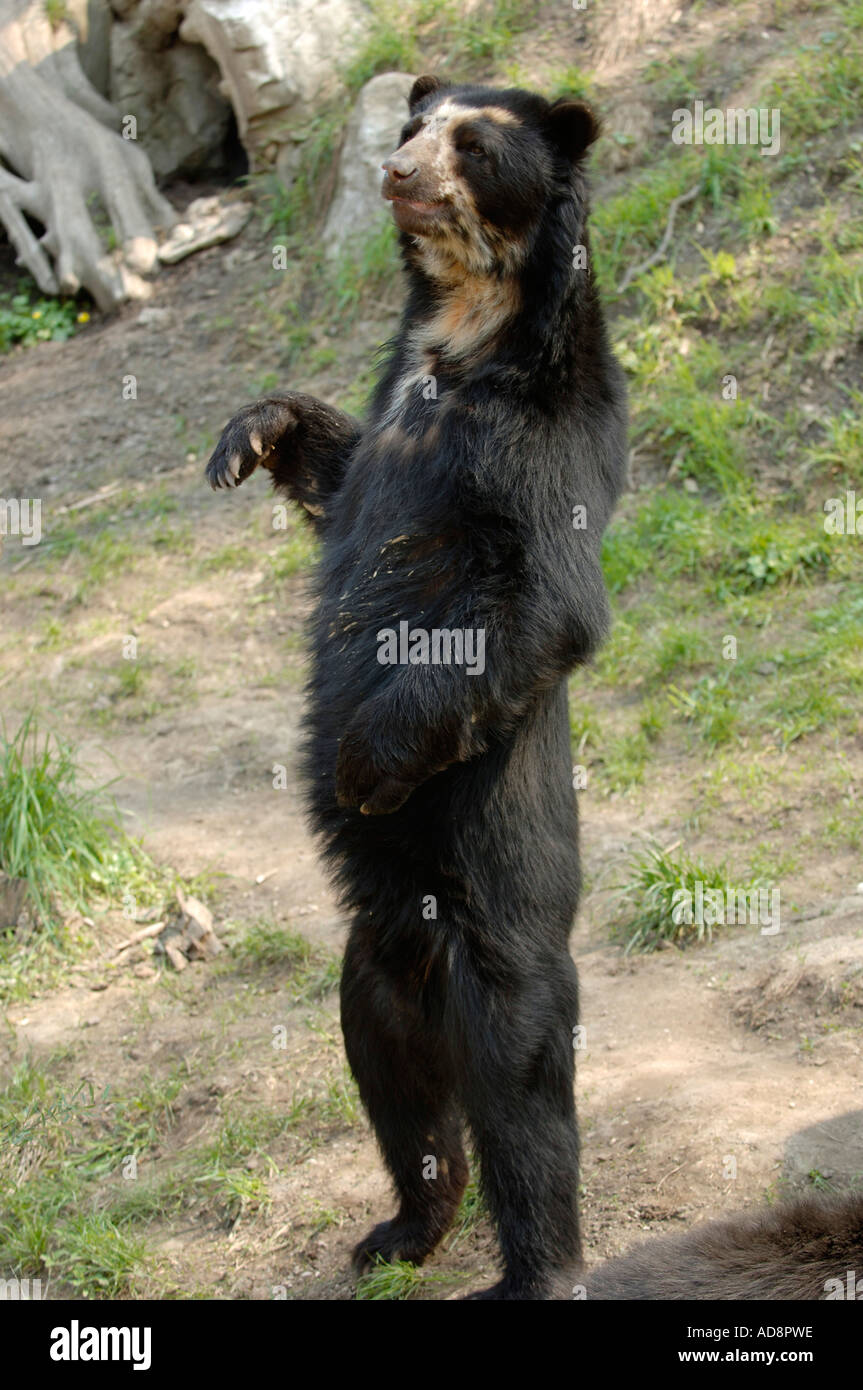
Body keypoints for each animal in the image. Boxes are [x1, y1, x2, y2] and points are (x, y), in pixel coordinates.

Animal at [205, 74, 628, 1299]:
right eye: (409, 130)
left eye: (474, 147)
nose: (393, 174)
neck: (465, 332)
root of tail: (436, 949)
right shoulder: (393, 387)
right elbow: (340, 469)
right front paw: (250, 434)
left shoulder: (540, 445)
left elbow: (542, 608)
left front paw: (355, 763)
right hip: (378, 950)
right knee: (394, 1074)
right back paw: (402, 1228)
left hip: (498, 907)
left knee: (522, 1086)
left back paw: (534, 1267)